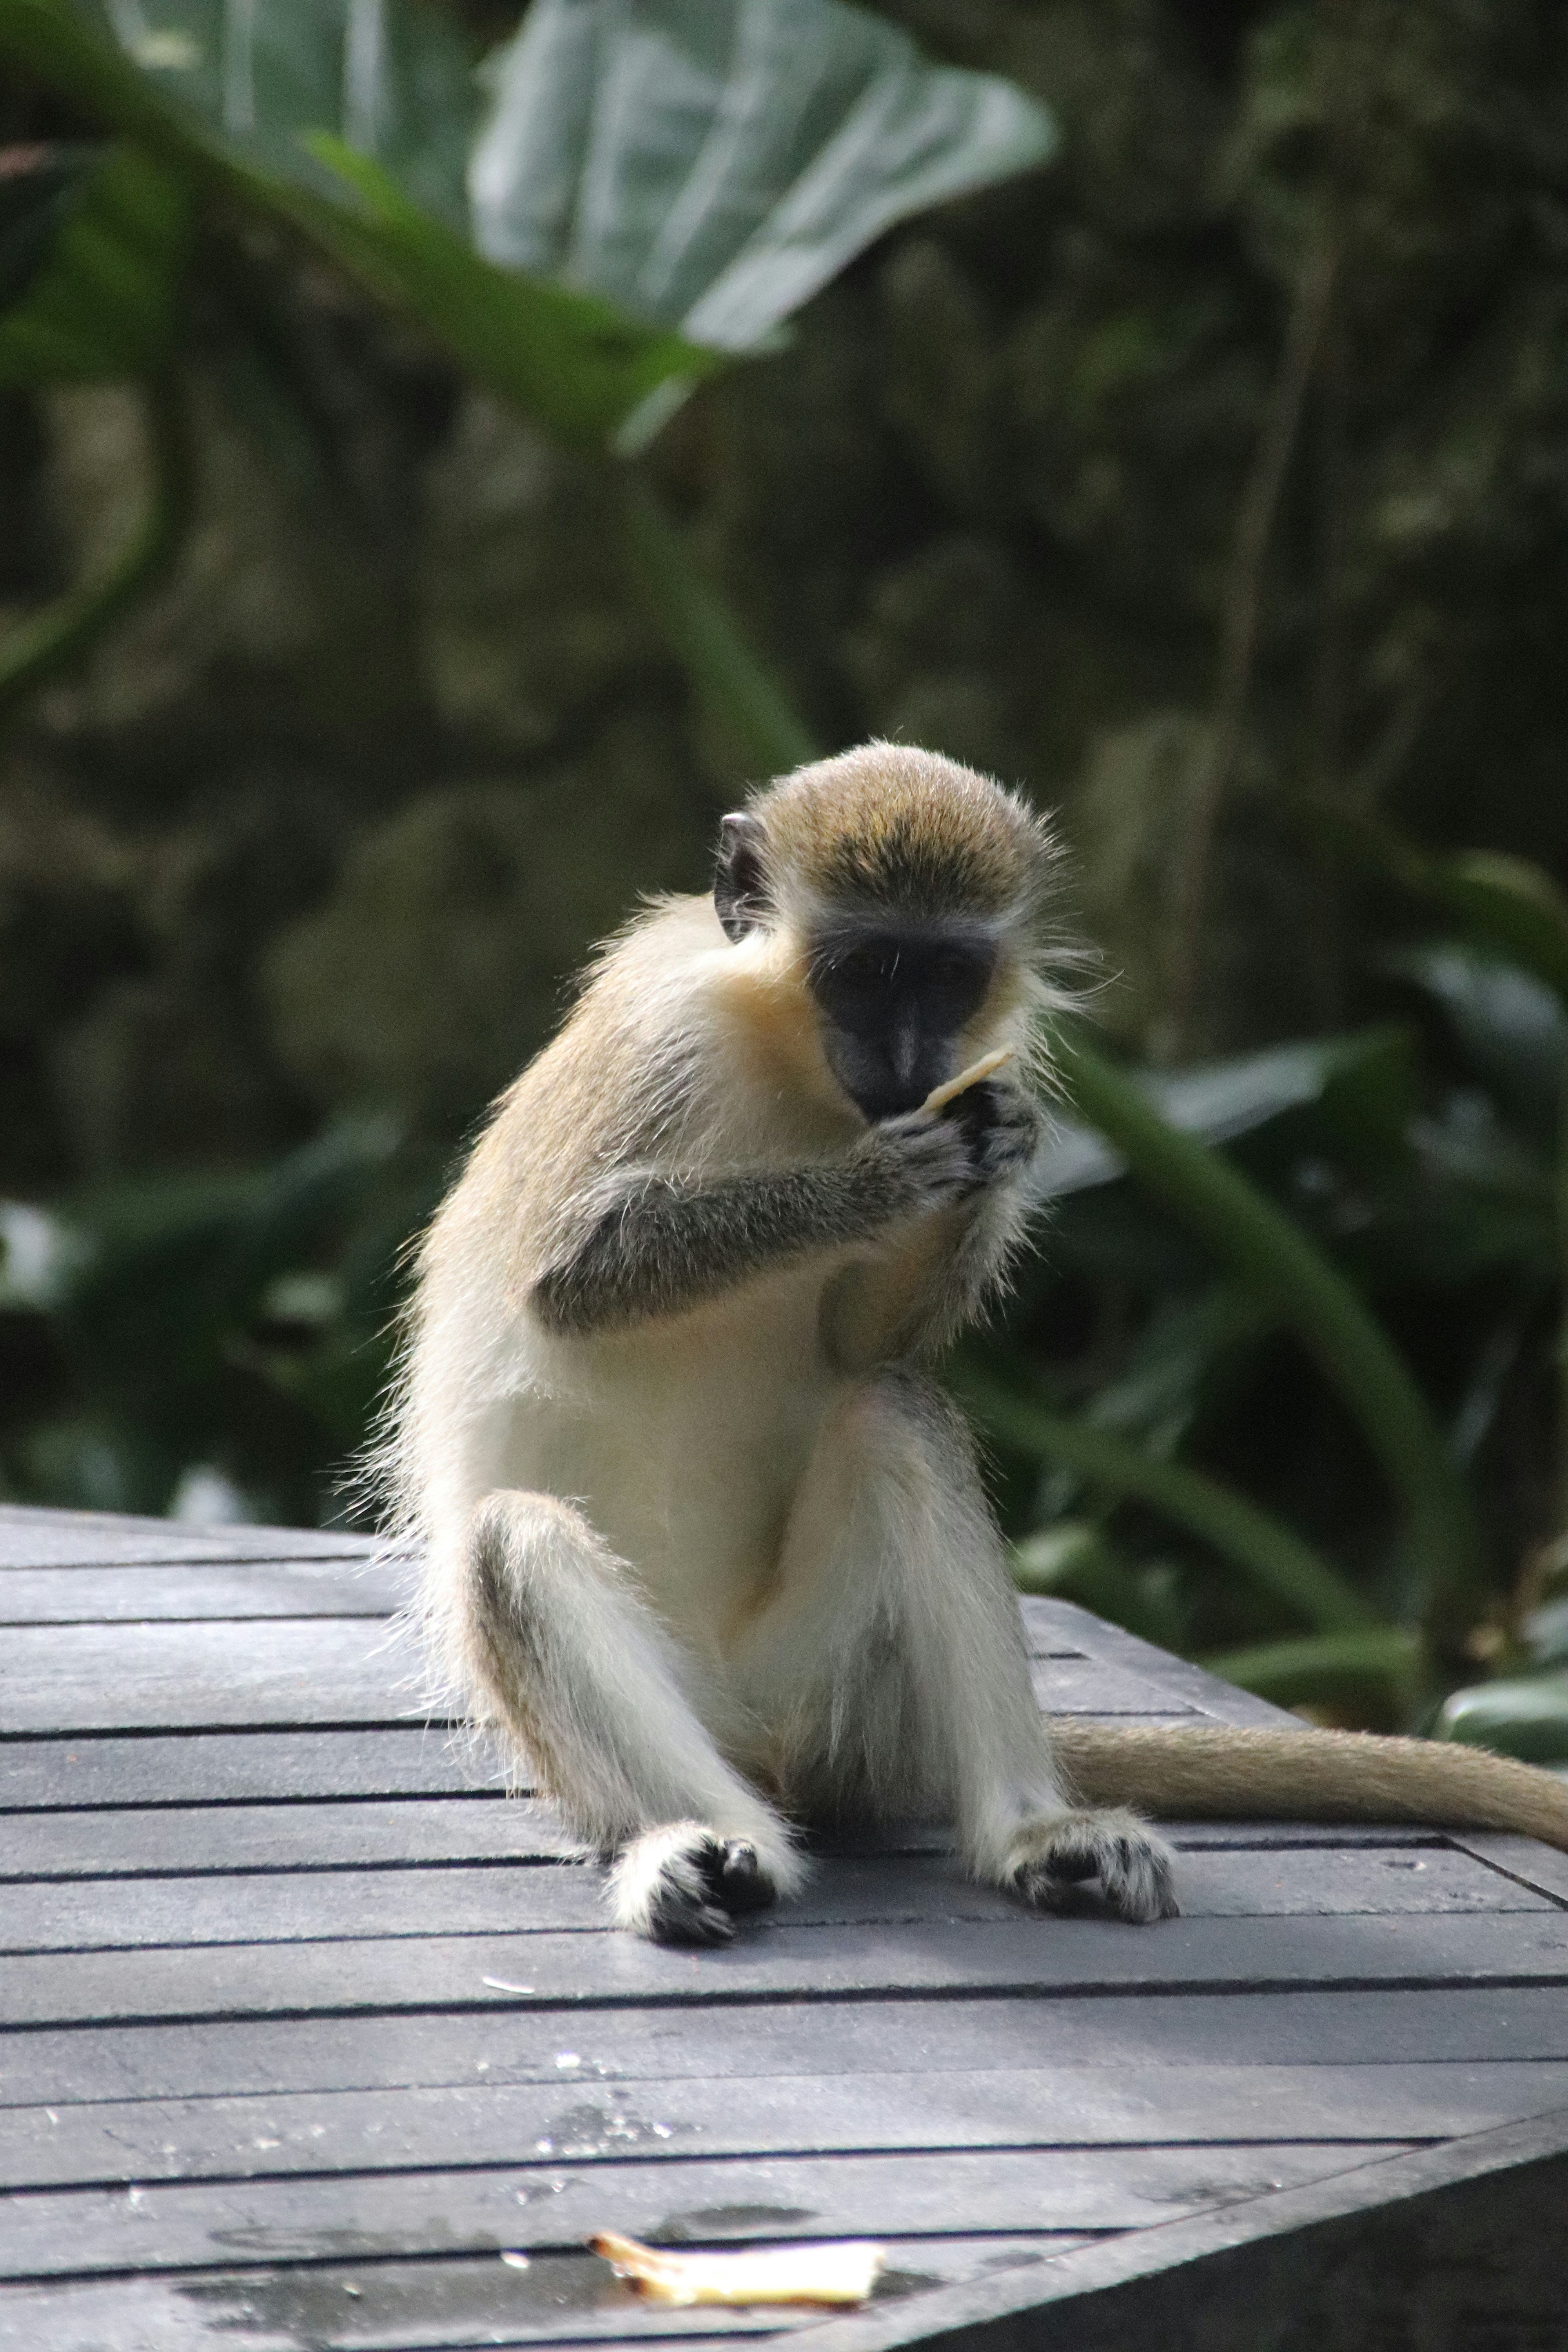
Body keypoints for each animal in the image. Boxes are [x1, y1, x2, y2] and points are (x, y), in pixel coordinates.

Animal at [386, 743, 1568, 1947]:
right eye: (865, 971)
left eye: (949, 976)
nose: (914, 1061)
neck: (791, 1063)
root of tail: (747, 1737)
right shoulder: (657, 1038)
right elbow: (569, 1277)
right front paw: (890, 1177)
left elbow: (863, 1345)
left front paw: (998, 1150)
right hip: (662, 1722)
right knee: (515, 1548)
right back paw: (701, 1844)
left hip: (835, 1695)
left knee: (897, 1411)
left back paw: (1031, 1832)